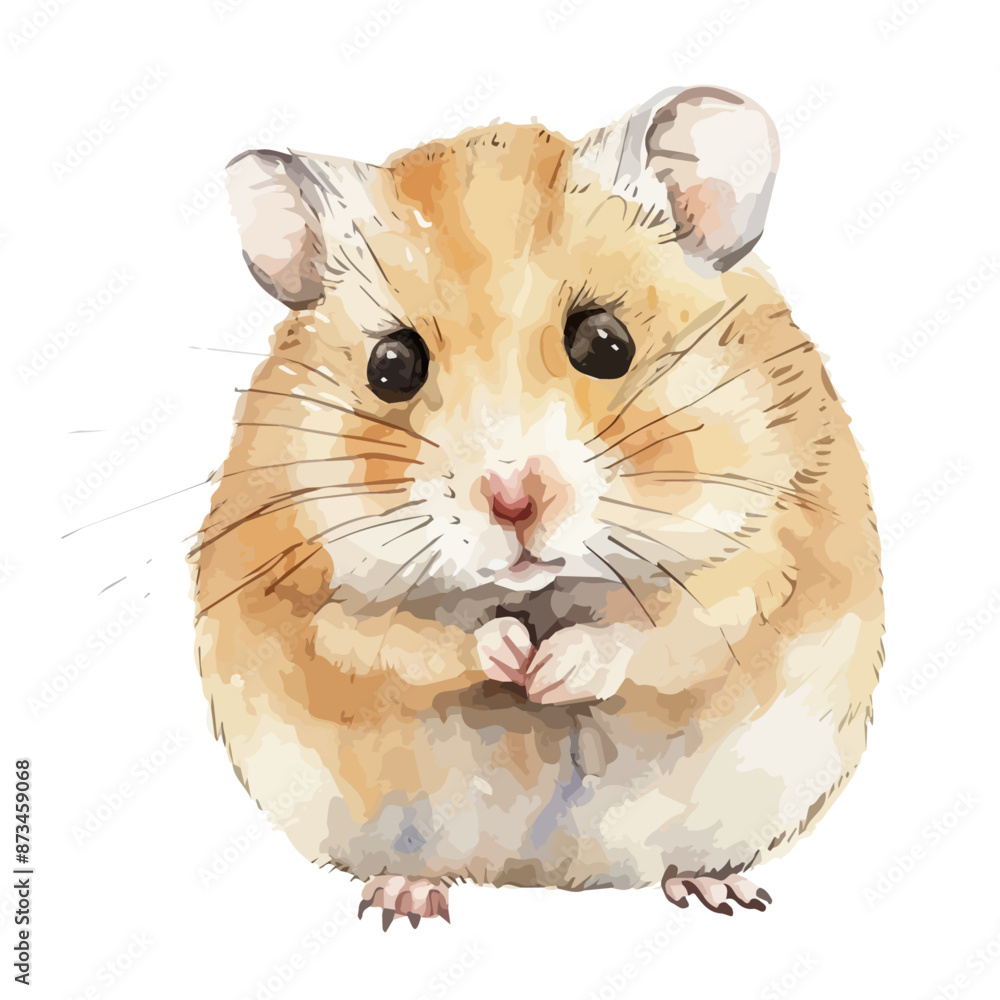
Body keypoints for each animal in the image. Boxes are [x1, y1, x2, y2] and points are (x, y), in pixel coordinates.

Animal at [189, 85, 884, 926]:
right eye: (391, 366)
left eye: (606, 342)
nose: (514, 503)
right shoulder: (299, 578)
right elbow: (389, 639)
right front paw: (512, 656)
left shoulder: (769, 545)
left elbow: (673, 629)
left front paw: (551, 669)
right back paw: (404, 900)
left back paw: (722, 890)